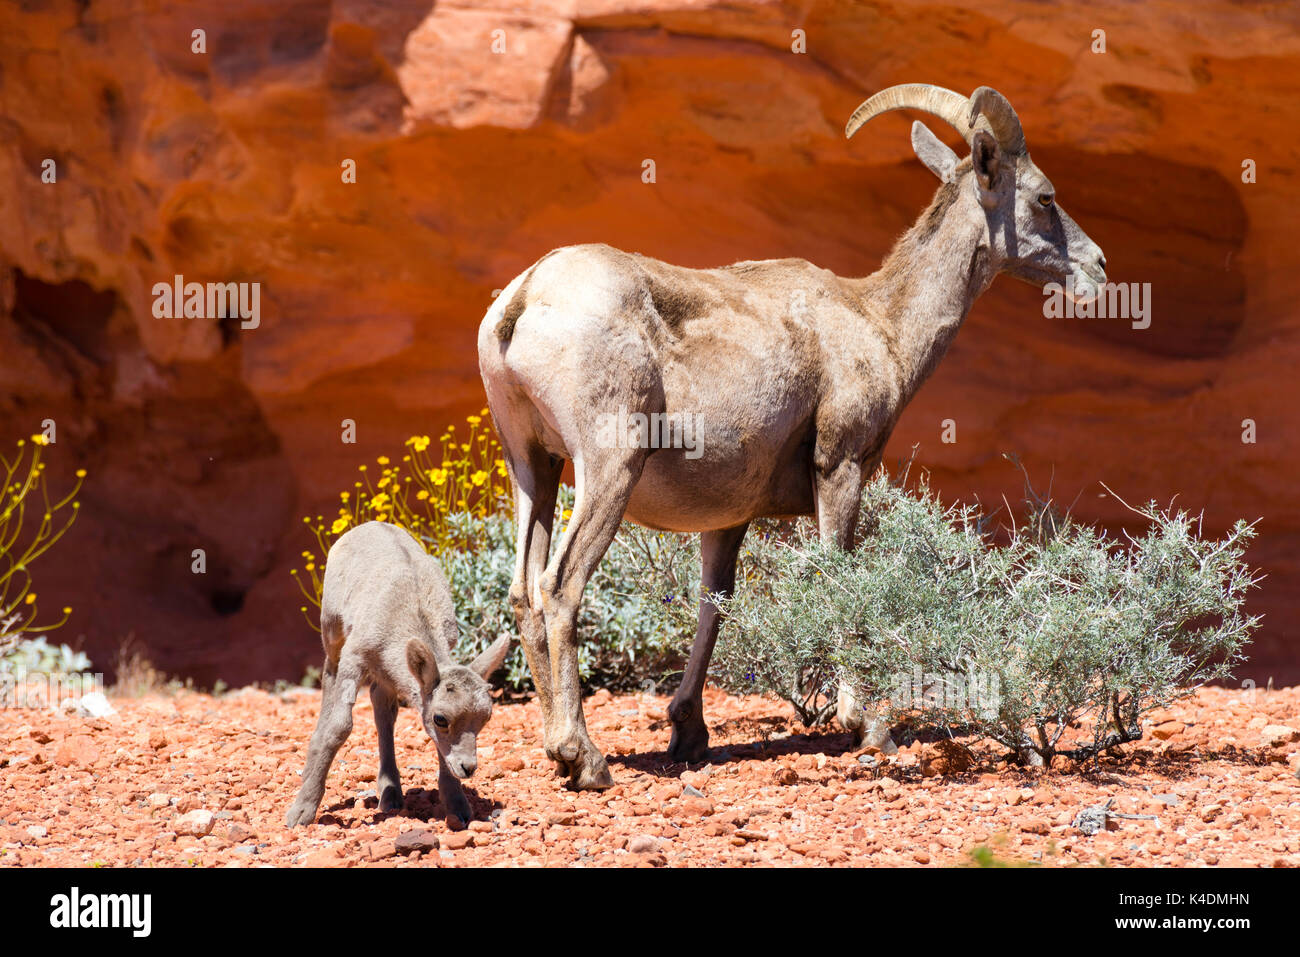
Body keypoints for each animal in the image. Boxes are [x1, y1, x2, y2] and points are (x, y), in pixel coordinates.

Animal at [285, 521, 511, 827]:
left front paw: (458, 806)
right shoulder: (354, 658)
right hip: (331, 633)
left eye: (486, 718)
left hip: (384, 675)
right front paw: (301, 813)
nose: (468, 767)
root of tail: (369, 525)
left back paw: (390, 794)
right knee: (329, 682)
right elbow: (339, 727)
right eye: (441, 718)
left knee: (383, 709)